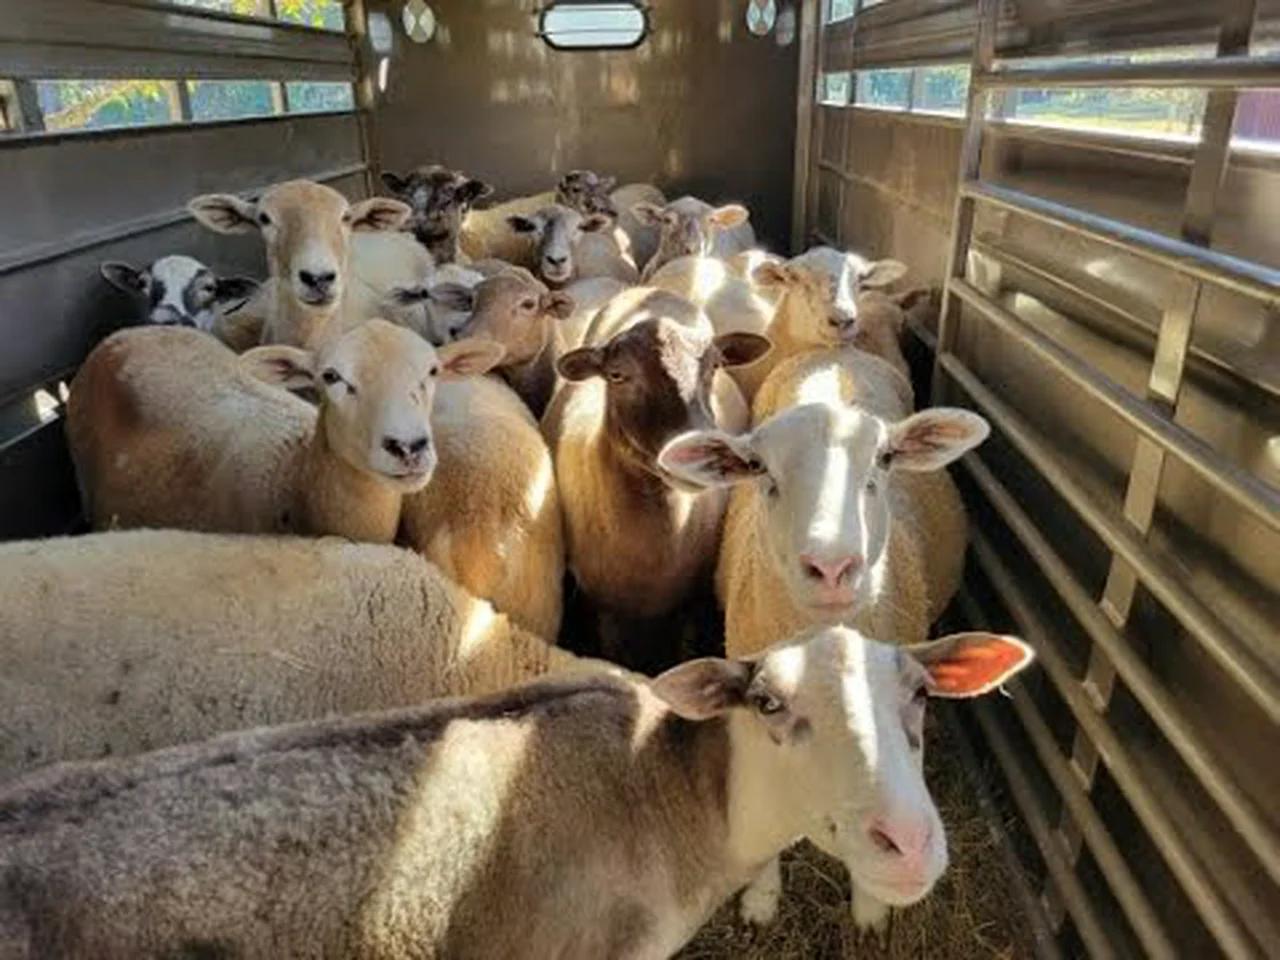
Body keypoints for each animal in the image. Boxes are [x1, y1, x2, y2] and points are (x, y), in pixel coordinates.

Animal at [542, 286, 769, 669]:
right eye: (617, 375)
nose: (698, 448)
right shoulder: (604, 608)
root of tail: (650, 290)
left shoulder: (689, 603)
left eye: (715, 367)